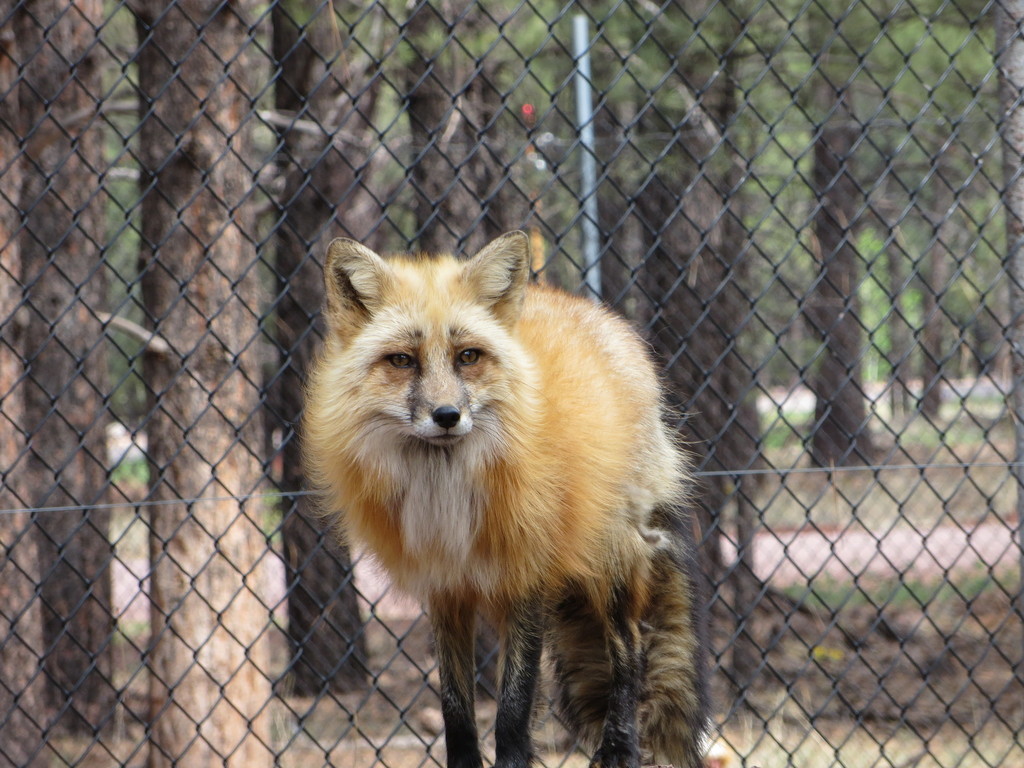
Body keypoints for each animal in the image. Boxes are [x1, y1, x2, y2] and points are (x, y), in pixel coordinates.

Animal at [303, 231, 708, 768]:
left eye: (468, 357)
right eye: (402, 360)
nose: (447, 415)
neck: (446, 493)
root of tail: (593, 310)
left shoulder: (527, 577)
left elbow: (513, 710)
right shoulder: (445, 587)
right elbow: (456, 710)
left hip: (612, 561)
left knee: (631, 649)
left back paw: (619, 748)